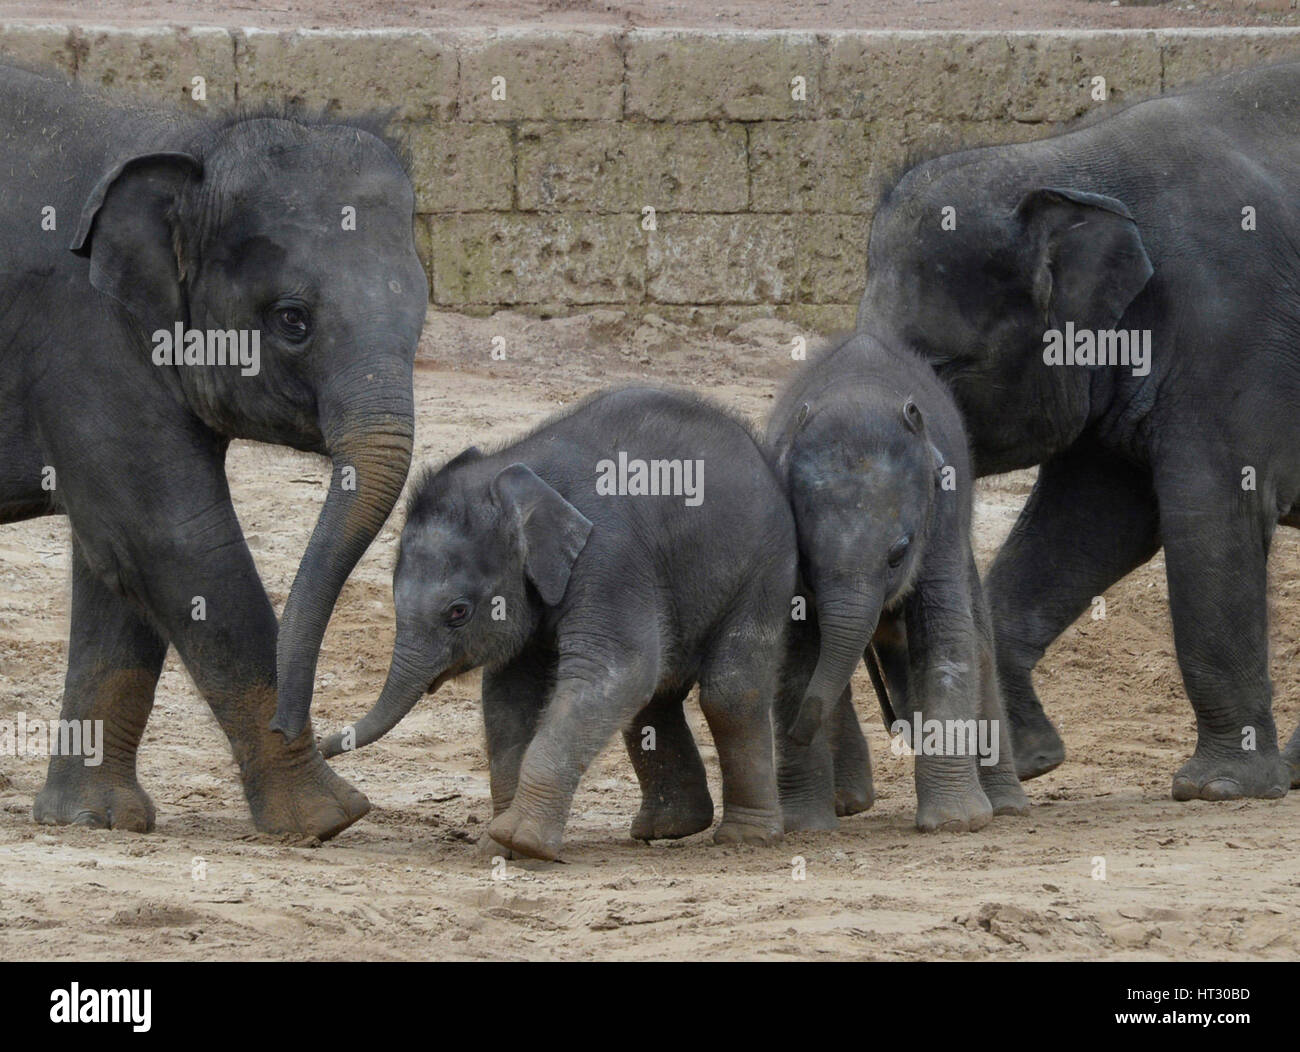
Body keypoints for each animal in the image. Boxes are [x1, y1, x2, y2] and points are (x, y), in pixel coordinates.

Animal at [0, 64, 427, 837]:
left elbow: (113, 563)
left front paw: (96, 819)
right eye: (292, 320)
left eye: (421, 318)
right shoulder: (84, 331)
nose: (324, 732)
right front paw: (327, 818)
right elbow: (170, 538)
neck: (191, 141)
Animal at [321, 386, 795, 861]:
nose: (324, 742)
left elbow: (615, 672)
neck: (520, 473)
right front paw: (495, 846)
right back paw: (668, 829)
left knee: (728, 691)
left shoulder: (610, 554)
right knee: (656, 694)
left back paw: (745, 838)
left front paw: (520, 840)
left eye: (458, 612)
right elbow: (508, 697)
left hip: (764, 568)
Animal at [767, 332, 1027, 832]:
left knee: (978, 644)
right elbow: (794, 648)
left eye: (898, 553)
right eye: (805, 556)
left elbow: (947, 634)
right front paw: (805, 828)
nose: (798, 730)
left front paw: (952, 822)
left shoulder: (941, 521)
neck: (860, 393)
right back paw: (847, 802)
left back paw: (1006, 806)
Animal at [854, 60, 1300, 800]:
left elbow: (1211, 518)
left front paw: (1216, 787)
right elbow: (1096, 518)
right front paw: (1034, 762)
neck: (1062, 160)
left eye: (941, 367)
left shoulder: (1235, 334)